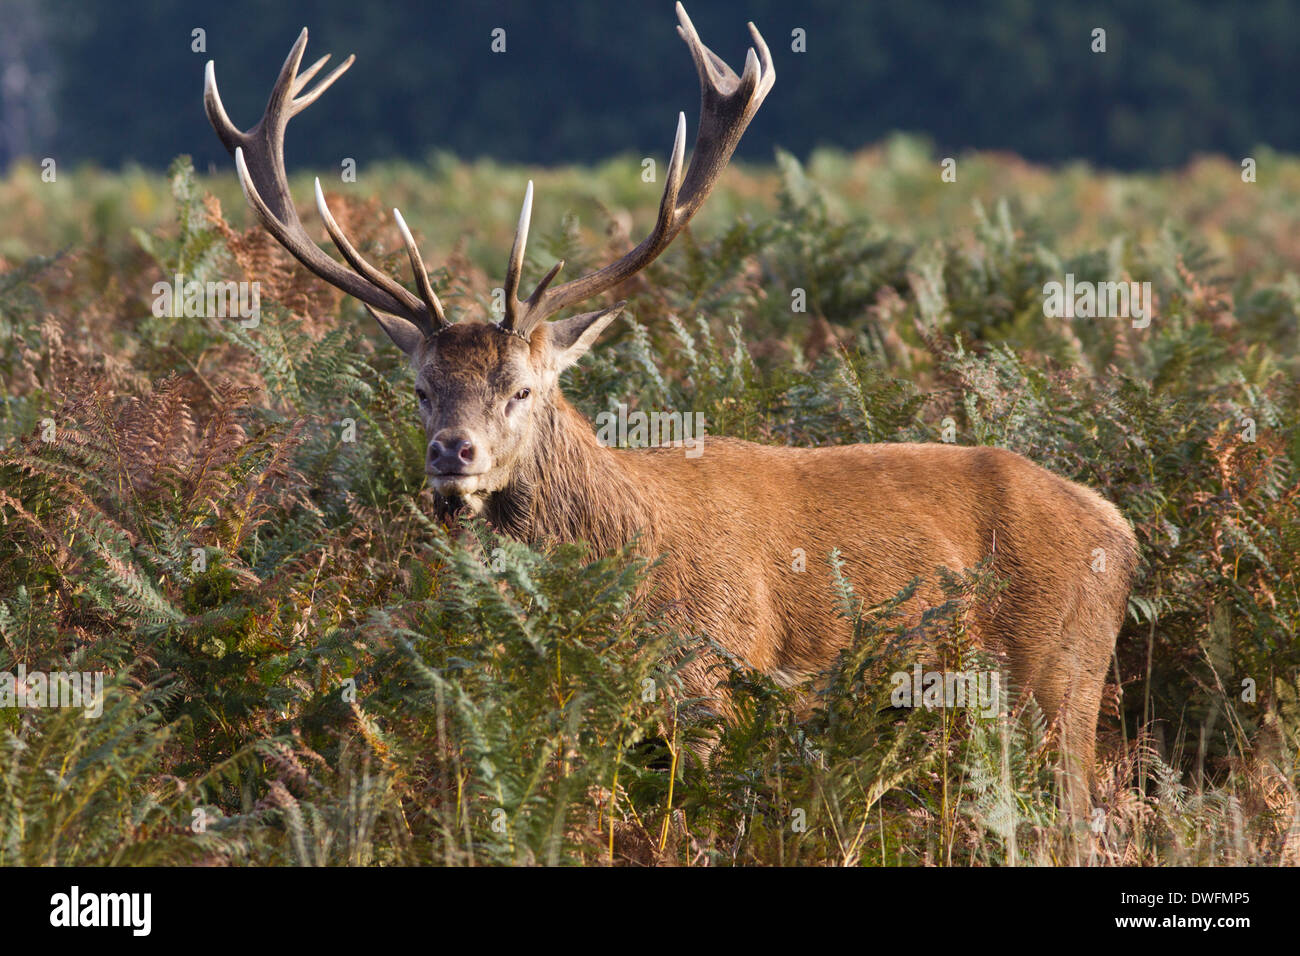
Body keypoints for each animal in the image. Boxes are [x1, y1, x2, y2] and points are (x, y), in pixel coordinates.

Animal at [204, 3, 1138, 817]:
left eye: (523, 388)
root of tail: (1120, 528)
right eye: (424, 389)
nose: (451, 455)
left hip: (1062, 680)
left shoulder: (713, 681)